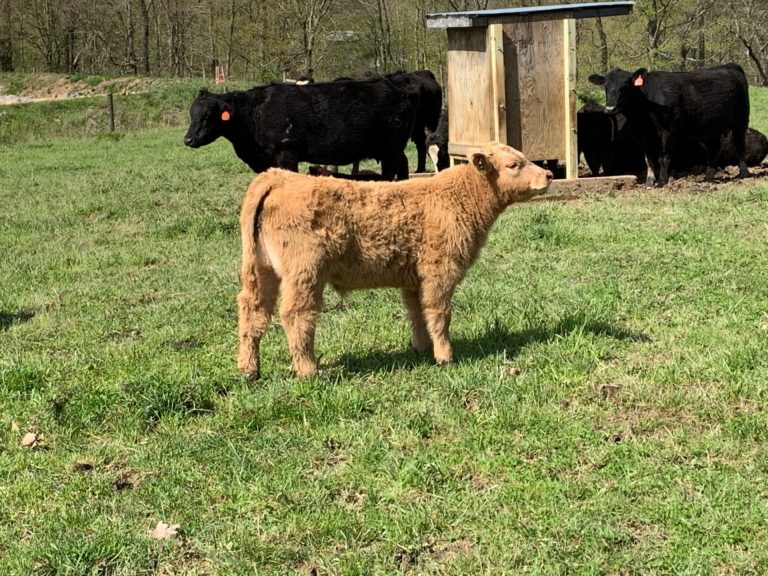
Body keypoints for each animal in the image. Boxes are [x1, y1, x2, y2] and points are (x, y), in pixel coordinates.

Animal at [184, 77, 417, 181]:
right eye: (191, 114)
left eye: (207, 115)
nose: (188, 139)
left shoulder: (286, 152)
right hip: (393, 149)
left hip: (391, 149)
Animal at [236, 142, 553, 379]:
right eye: (514, 165)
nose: (549, 175)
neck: (459, 198)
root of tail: (279, 177)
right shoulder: (440, 271)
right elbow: (439, 313)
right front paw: (445, 356)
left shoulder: (413, 279)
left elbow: (417, 313)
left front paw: (422, 348)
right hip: (305, 272)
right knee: (296, 314)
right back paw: (308, 369)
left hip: (261, 269)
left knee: (253, 311)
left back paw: (249, 370)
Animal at [589, 64, 750, 186]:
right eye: (605, 86)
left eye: (626, 86)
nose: (610, 109)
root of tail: (729, 66)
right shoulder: (641, 135)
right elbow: (649, 159)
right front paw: (649, 181)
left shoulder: (668, 132)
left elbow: (663, 157)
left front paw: (662, 181)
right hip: (708, 128)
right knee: (713, 149)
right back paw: (708, 178)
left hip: (741, 120)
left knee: (739, 145)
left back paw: (743, 174)